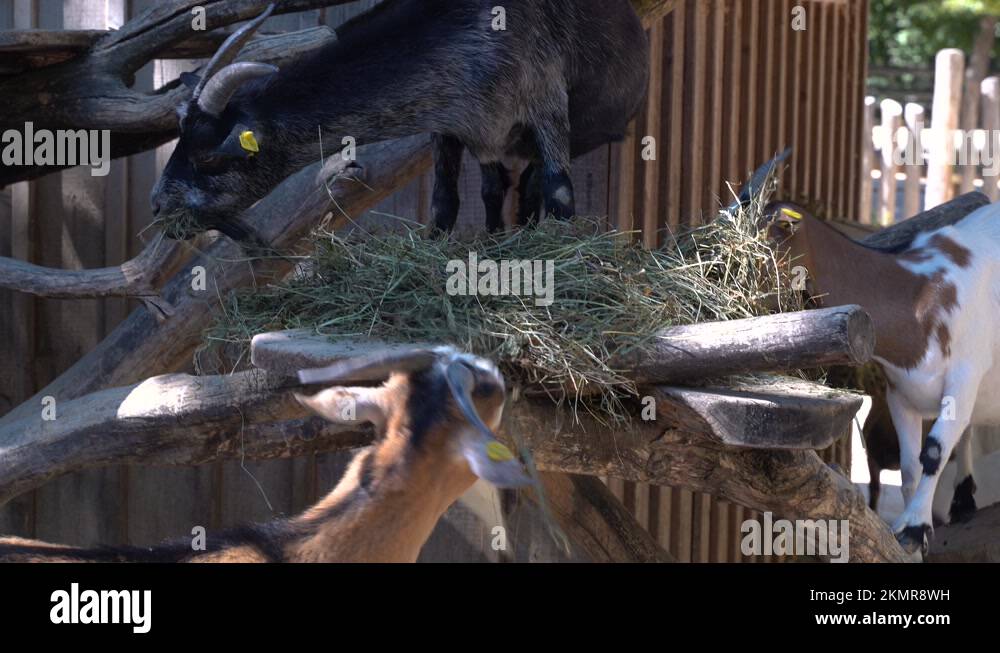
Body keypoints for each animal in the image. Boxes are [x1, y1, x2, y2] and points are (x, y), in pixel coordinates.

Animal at [150, 1, 649, 240]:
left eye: (212, 158)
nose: (157, 206)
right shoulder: (453, 124)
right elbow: (445, 201)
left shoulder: (545, 99)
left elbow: (561, 193)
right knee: (499, 189)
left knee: (529, 185)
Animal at [764, 201, 1000, 557]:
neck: (922, 297)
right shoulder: (900, 395)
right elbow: (910, 467)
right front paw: (914, 545)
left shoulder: (965, 377)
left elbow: (934, 451)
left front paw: (915, 528)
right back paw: (962, 501)